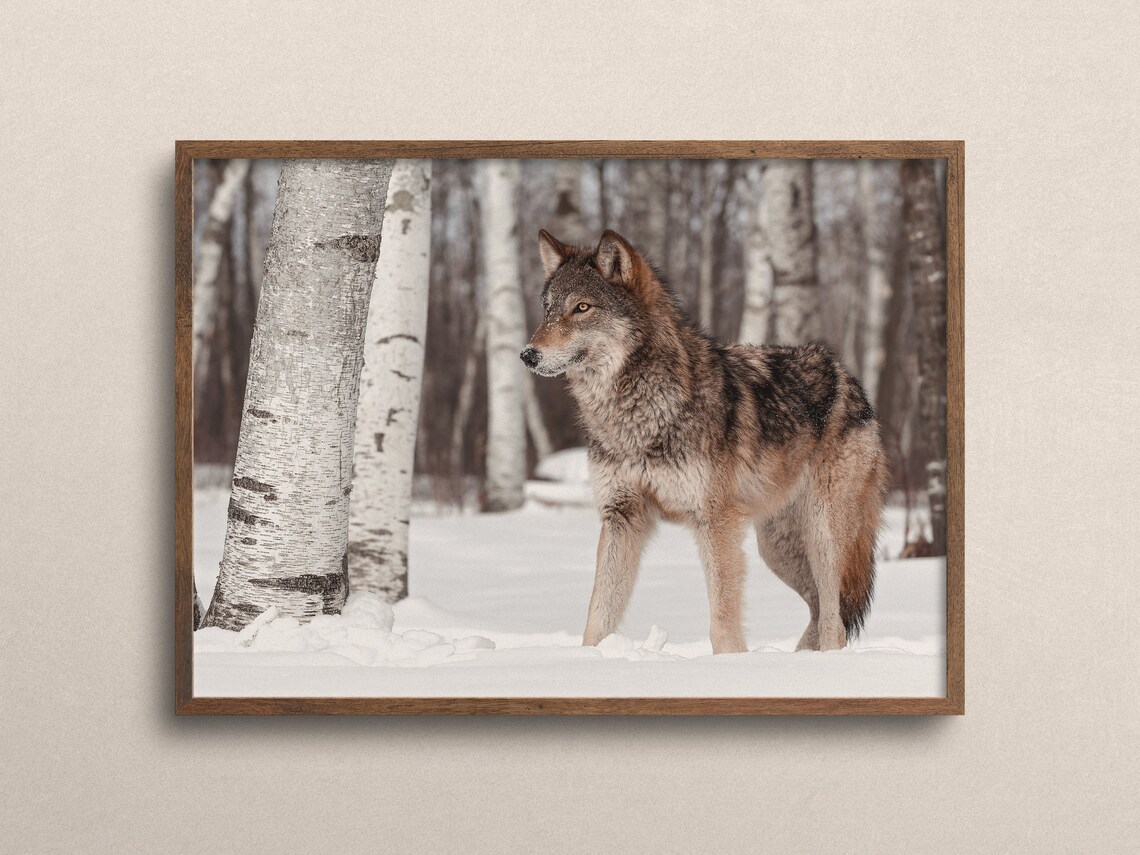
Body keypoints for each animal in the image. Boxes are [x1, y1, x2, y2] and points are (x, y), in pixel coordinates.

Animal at [520, 229, 889, 653]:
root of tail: (849, 378)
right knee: (818, 609)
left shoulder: (716, 522)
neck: (638, 414)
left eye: (582, 307)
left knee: (834, 619)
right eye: (547, 310)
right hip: (776, 549)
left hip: (823, 535)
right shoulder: (622, 515)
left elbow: (723, 621)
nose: (527, 355)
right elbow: (598, 615)